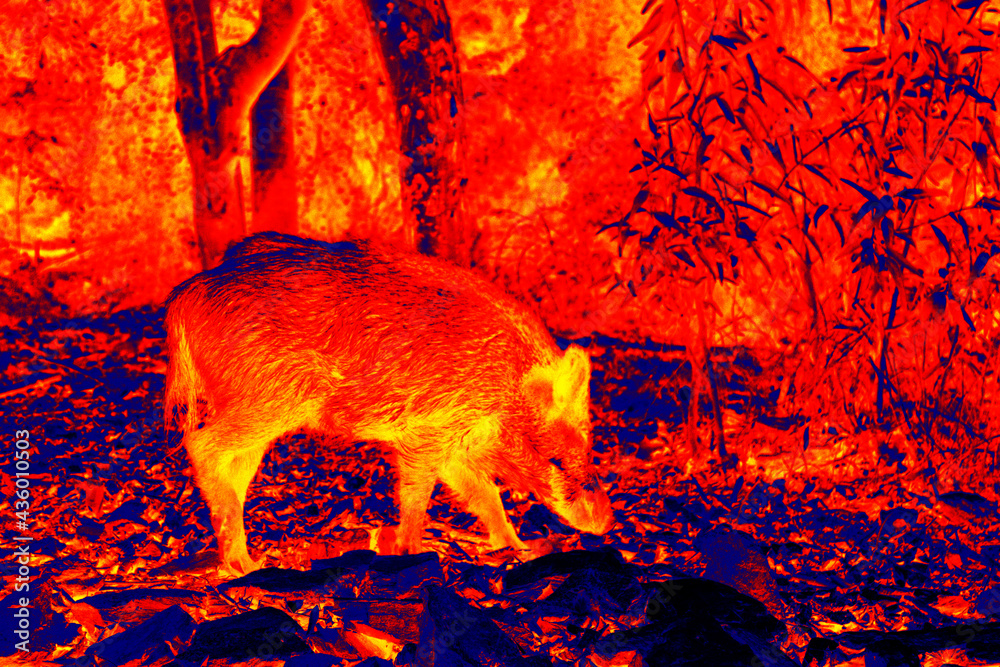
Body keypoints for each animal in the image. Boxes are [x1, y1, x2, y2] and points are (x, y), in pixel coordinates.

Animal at [165, 232, 613, 574]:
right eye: (555, 459)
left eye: (588, 446)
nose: (605, 519)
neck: (504, 387)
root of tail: (183, 300)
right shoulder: (428, 430)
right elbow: (417, 495)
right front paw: (412, 552)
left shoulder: (453, 445)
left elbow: (484, 493)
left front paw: (515, 546)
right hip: (267, 402)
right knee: (202, 445)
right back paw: (243, 565)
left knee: (233, 472)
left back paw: (246, 561)